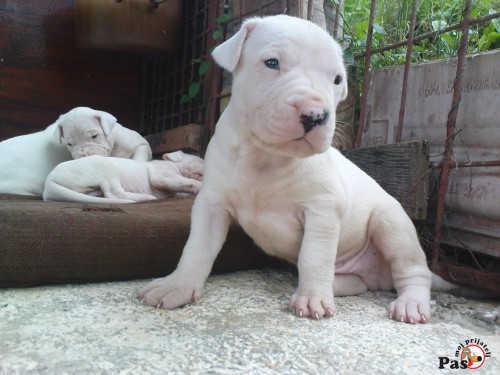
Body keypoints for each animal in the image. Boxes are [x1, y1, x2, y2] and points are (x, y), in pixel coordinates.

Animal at [43, 150, 203, 204]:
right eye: (201, 159)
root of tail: (49, 181)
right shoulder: (163, 176)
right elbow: (186, 181)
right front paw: (200, 186)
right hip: (104, 166)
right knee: (113, 194)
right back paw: (145, 198)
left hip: (89, 189)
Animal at [139, 16, 436, 324]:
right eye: (272, 63)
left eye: (337, 80)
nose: (315, 115)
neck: (265, 156)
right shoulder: (212, 204)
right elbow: (197, 247)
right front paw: (177, 286)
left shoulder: (322, 209)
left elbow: (314, 256)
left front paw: (312, 298)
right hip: (363, 268)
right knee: (358, 282)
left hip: (391, 224)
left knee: (414, 272)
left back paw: (411, 304)